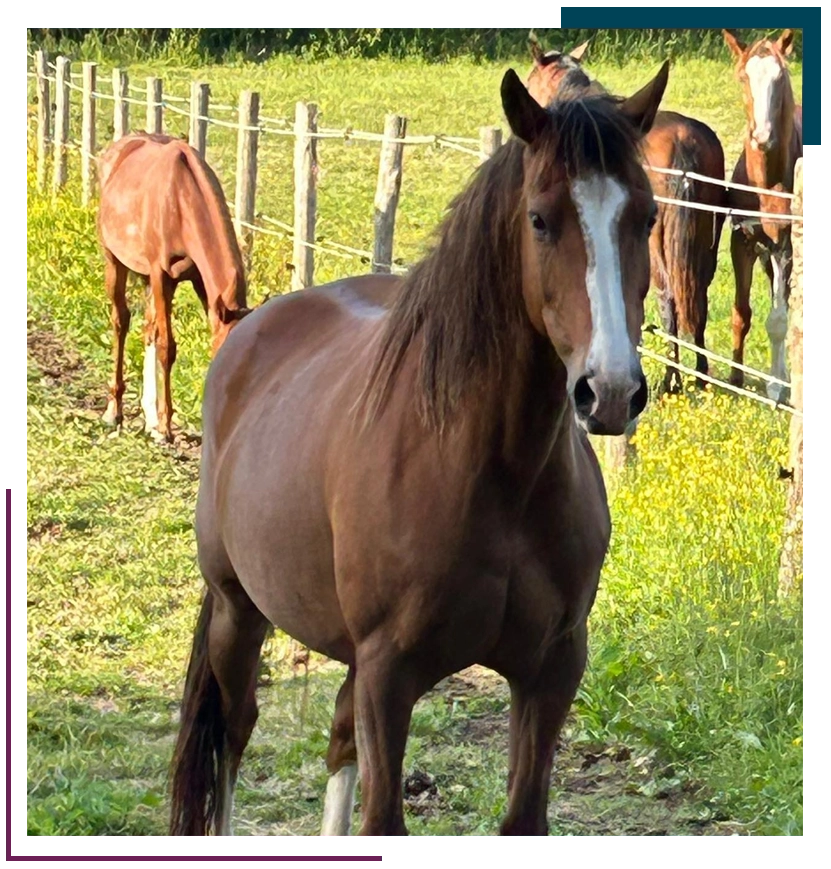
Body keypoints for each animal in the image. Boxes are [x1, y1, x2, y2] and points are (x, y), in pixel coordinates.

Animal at [96, 132, 251, 442]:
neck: (181, 200)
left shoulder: (200, 283)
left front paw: (159, 423)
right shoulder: (160, 274)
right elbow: (168, 347)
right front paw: (166, 428)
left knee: (147, 329)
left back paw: (149, 417)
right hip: (114, 260)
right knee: (121, 320)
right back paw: (114, 411)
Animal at [169, 62, 669, 839]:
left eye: (644, 216)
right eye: (540, 219)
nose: (609, 390)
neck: (492, 473)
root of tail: (249, 334)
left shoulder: (551, 670)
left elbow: (519, 816)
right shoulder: (389, 674)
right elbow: (383, 820)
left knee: (337, 740)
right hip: (236, 610)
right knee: (234, 732)